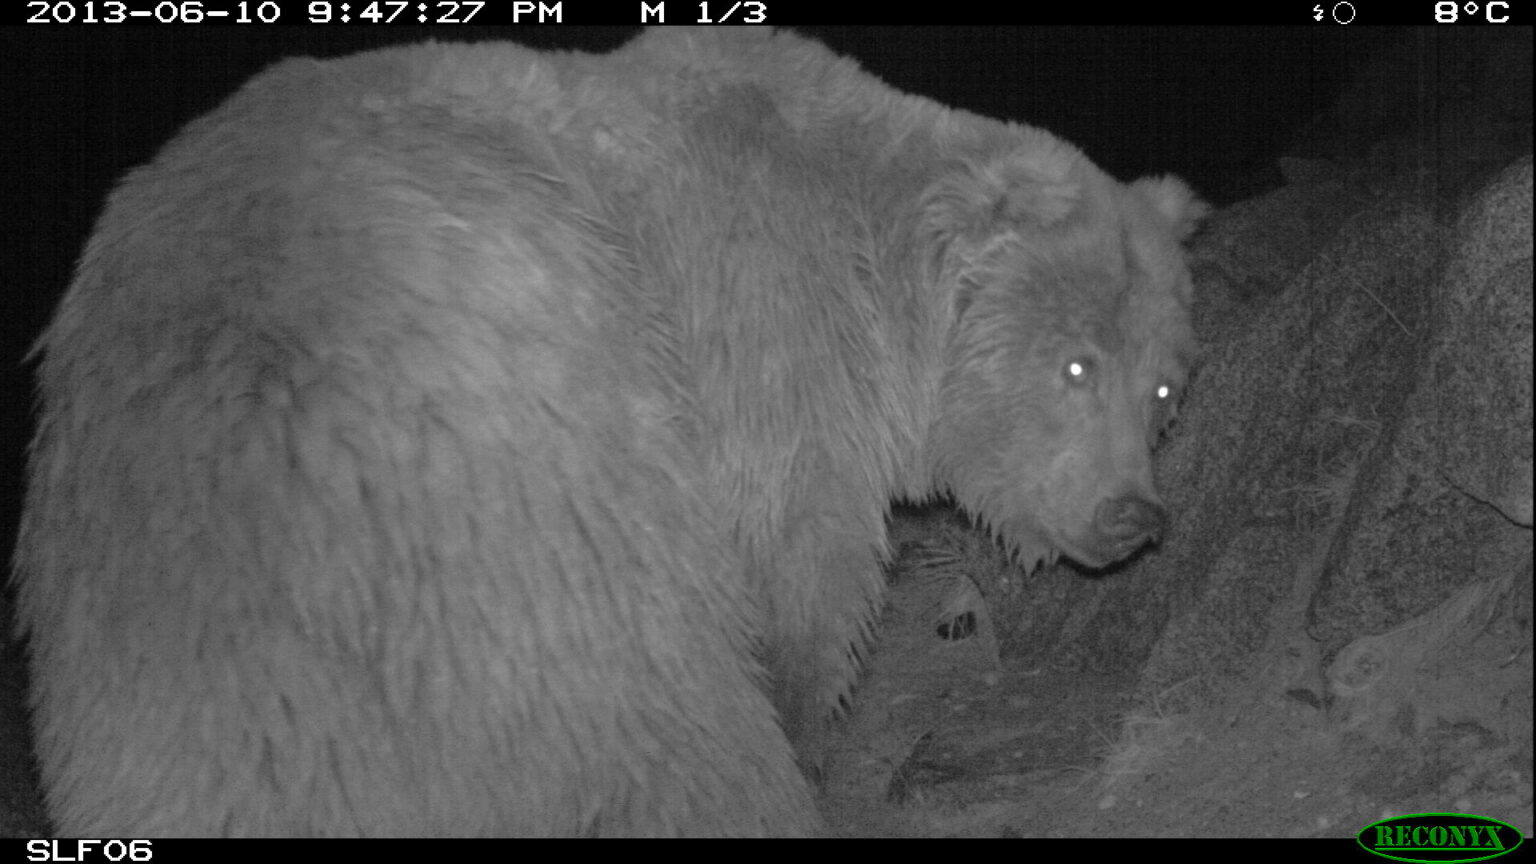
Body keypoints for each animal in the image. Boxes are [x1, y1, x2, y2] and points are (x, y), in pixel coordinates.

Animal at [13, 28, 1205, 836]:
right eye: (1076, 366)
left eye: (1161, 391)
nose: (1133, 517)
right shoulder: (759, 339)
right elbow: (801, 580)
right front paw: (810, 737)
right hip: (536, 491)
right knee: (657, 717)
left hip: (138, 633)